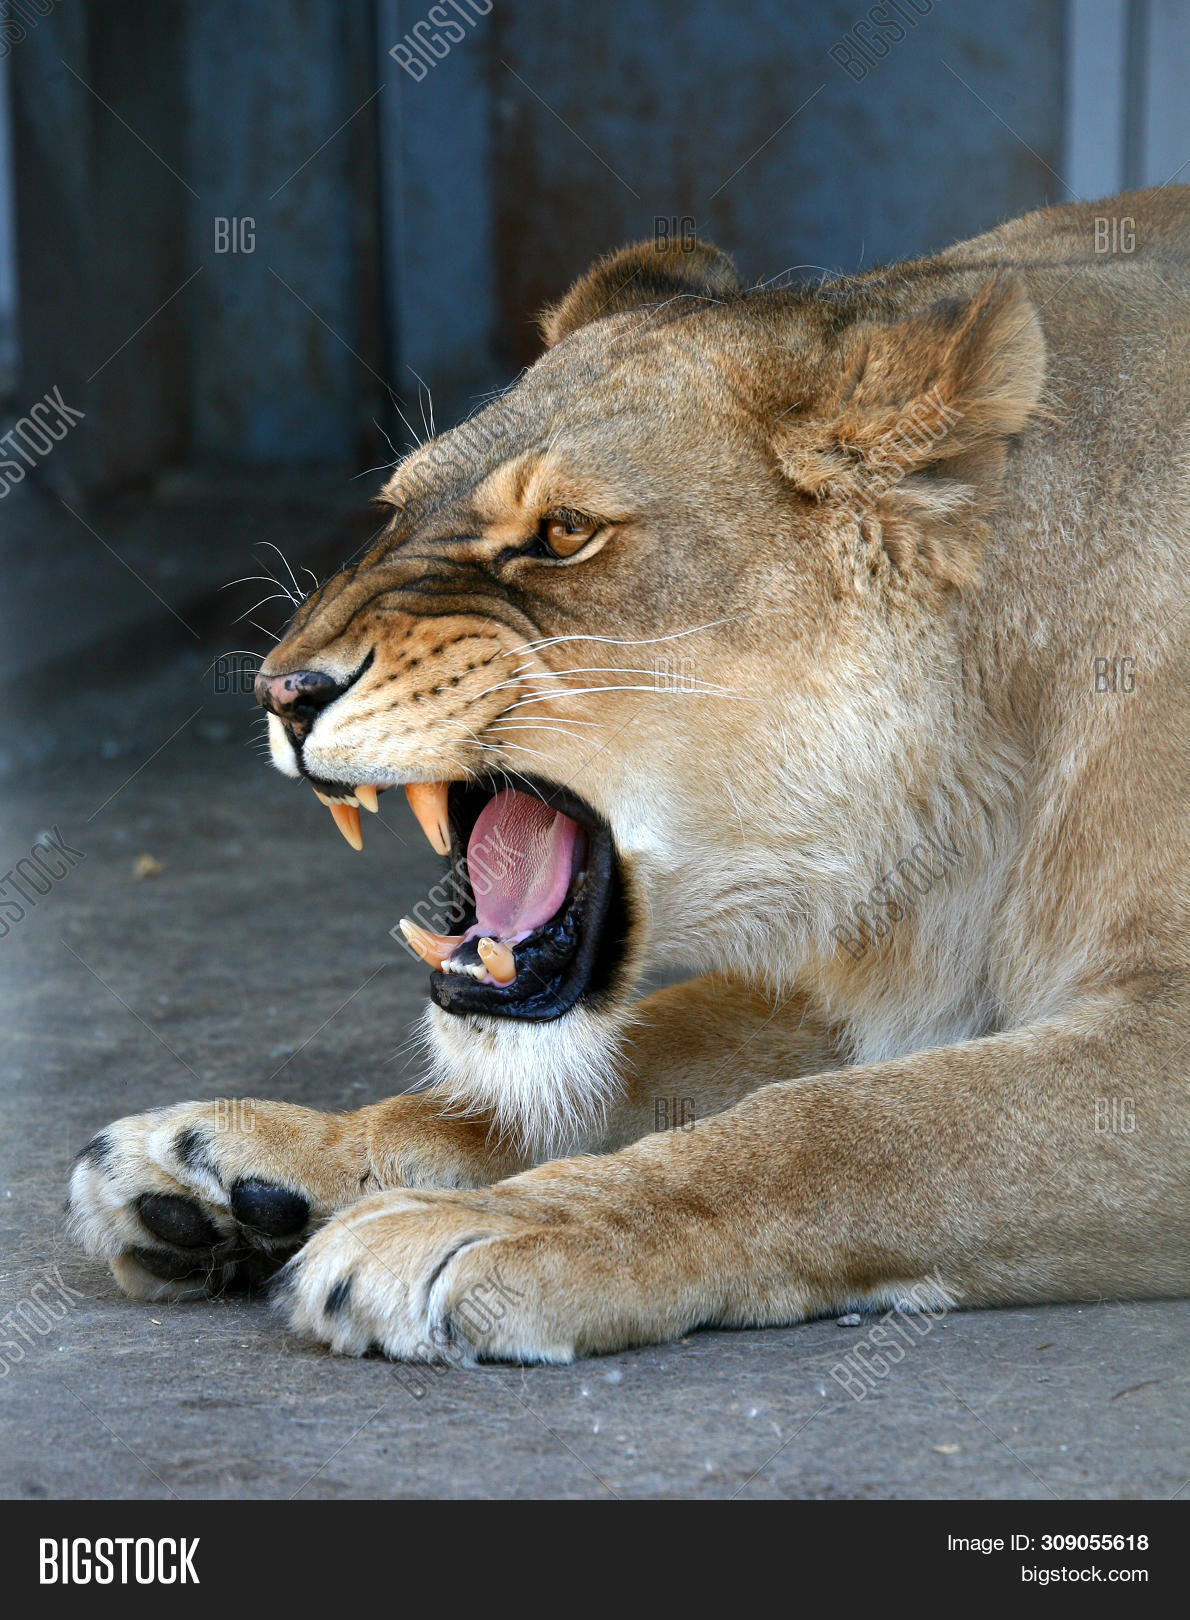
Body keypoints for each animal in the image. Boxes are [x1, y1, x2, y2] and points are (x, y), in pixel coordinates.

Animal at [69, 186, 1190, 1364]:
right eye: (393, 511)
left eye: (563, 533)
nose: (280, 691)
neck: (957, 825)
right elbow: (628, 1052)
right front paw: (247, 1164)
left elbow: (842, 1128)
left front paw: (482, 1229)